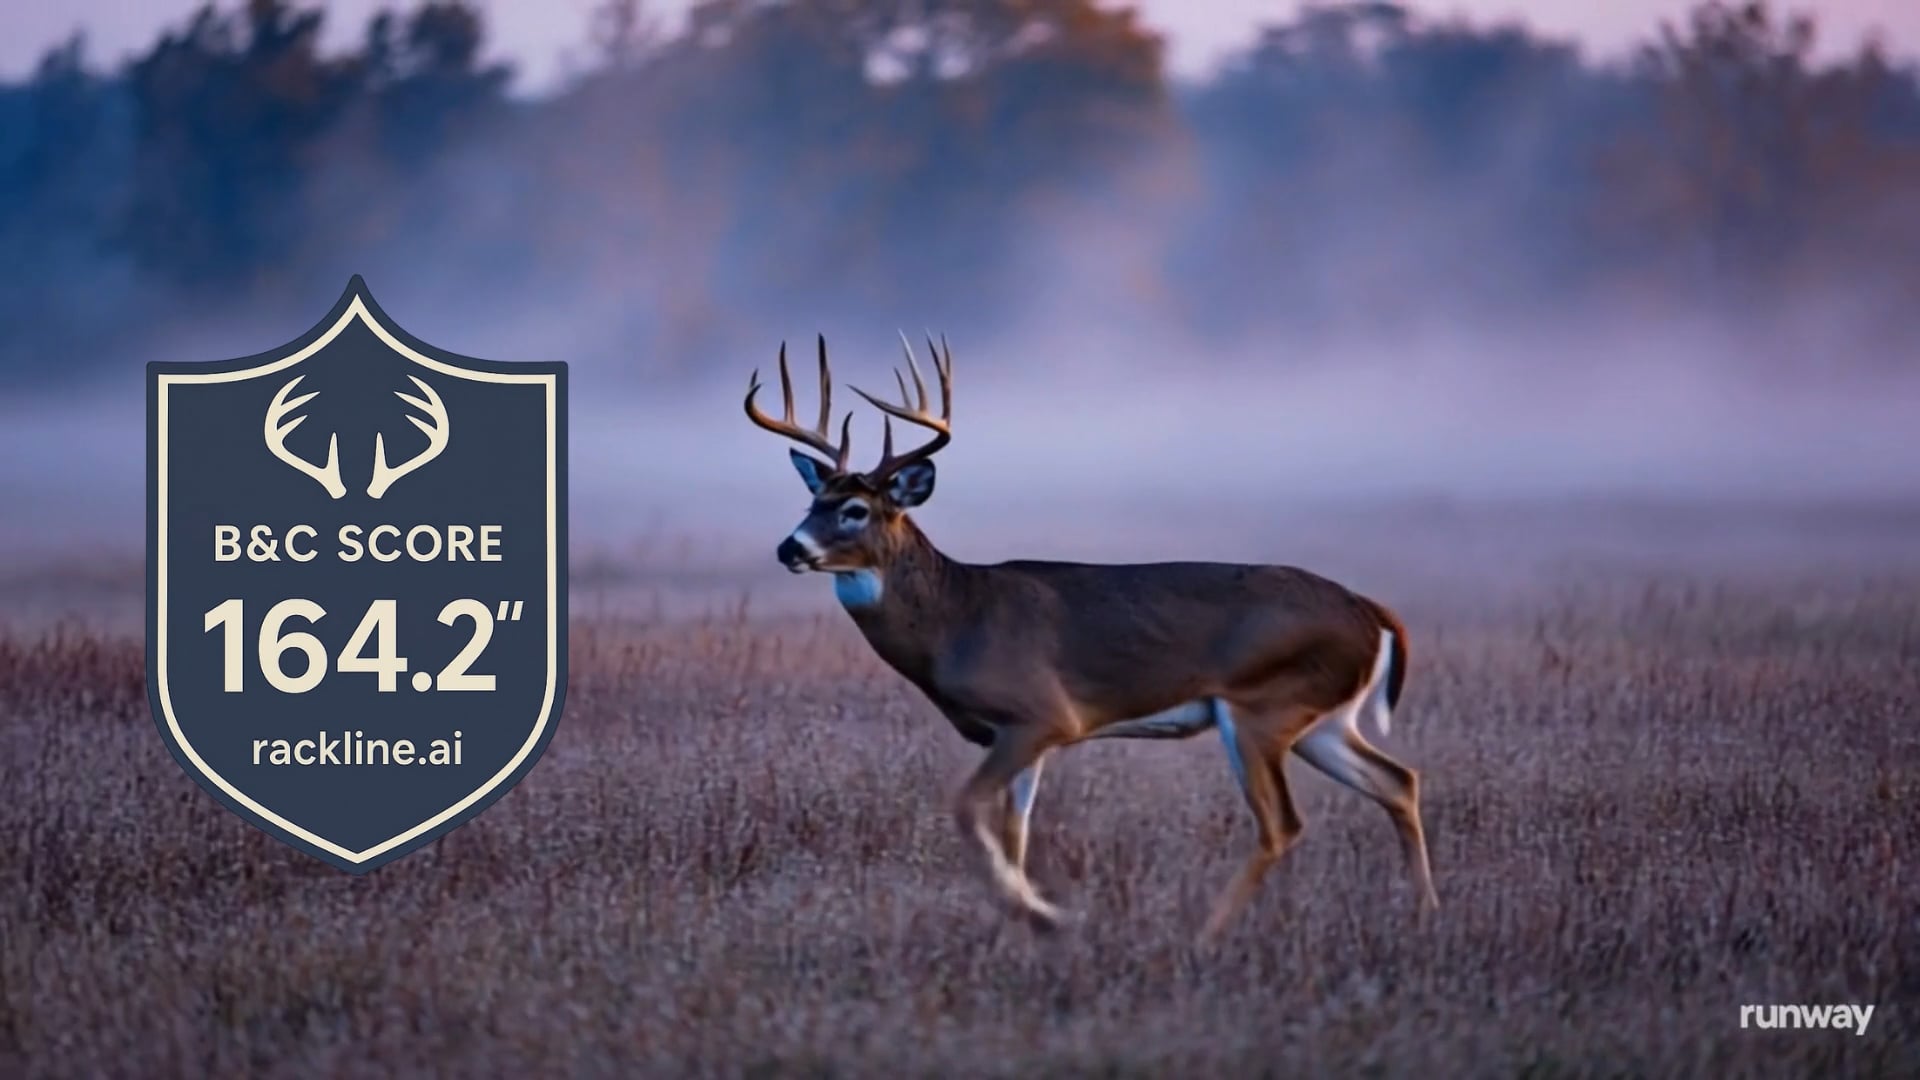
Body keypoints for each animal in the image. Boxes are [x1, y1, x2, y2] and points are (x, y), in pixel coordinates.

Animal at [744, 335, 1438, 941]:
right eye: (812, 502)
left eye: (855, 510)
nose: (789, 548)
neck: (957, 617)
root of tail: (1369, 611)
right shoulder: (1015, 736)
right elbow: (1014, 834)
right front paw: (1017, 928)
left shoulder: (1042, 715)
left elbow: (967, 809)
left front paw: (1047, 916)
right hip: (1320, 718)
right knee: (1397, 781)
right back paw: (1420, 913)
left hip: (1262, 707)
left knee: (1283, 824)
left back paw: (1204, 936)